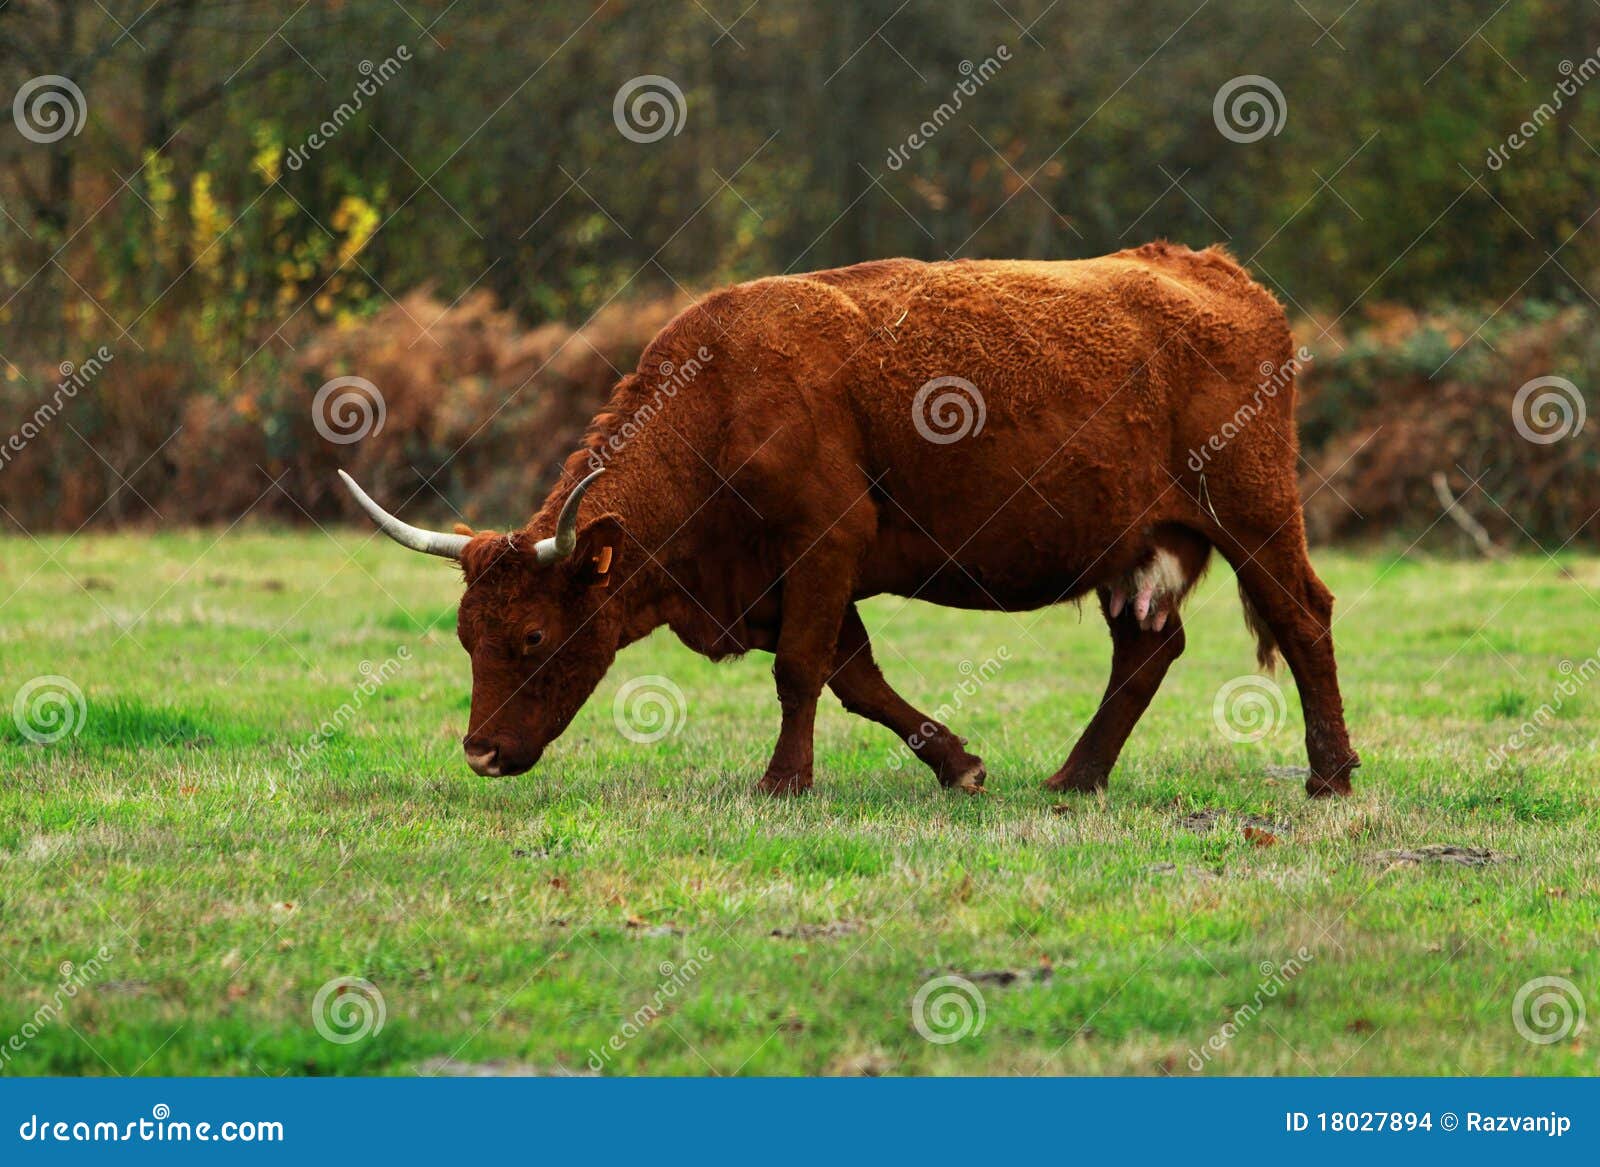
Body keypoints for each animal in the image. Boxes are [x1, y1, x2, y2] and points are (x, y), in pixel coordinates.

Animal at [340, 243, 1359, 799]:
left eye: (532, 635)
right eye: (465, 635)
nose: (479, 751)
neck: (720, 393)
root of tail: (1212, 271)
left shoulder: (824, 543)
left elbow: (801, 671)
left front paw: (784, 780)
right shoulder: (779, 577)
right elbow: (854, 676)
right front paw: (956, 763)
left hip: (1256, 511)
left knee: (1303, 616)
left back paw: (1330, 773)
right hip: (1133, 541)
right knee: (1147, 649)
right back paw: (1077, 776)